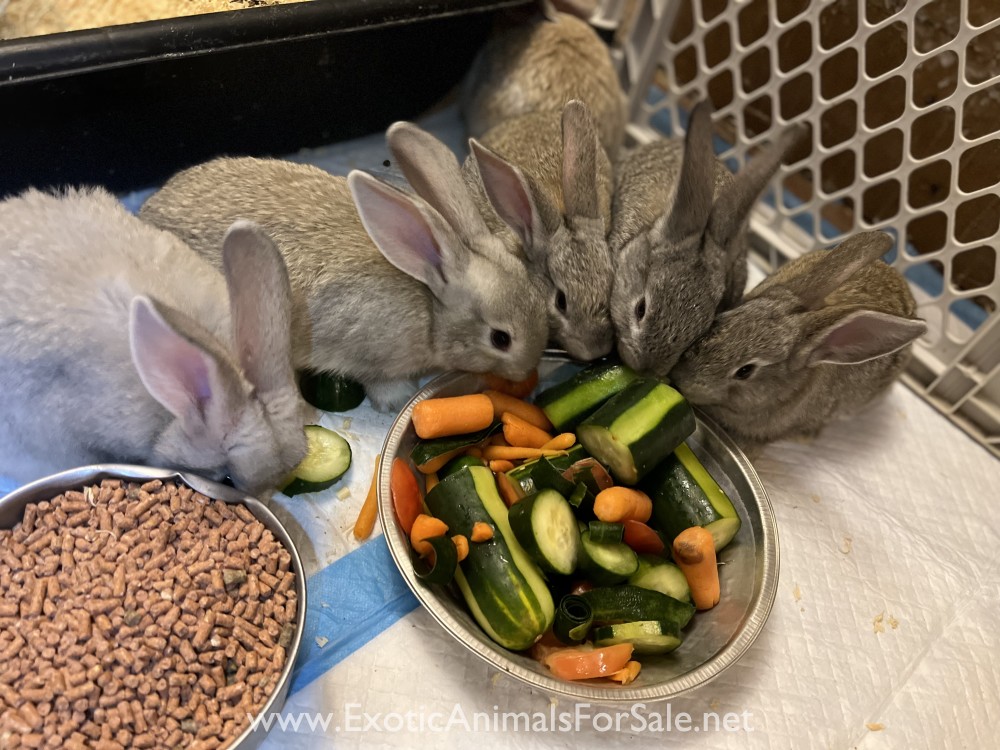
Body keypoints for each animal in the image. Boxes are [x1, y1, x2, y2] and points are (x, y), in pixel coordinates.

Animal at [139, 140, 550, 412]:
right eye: (500, 339)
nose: (528, 369)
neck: (430, 302)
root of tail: (145, 212)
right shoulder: (370, 358)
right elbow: (381, 383)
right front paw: (398, 400)